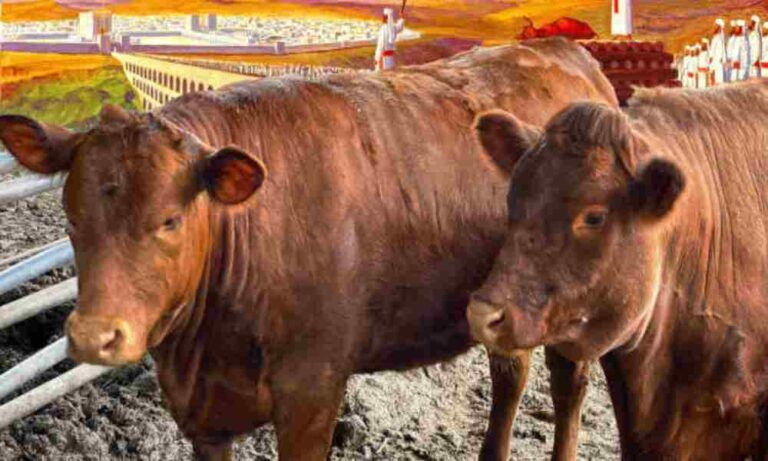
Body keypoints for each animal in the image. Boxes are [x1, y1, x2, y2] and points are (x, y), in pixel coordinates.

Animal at [0, 38, 616, 460]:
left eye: (170, 219)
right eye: (71, 217)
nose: (93, 336)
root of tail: (560, 50)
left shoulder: (312, 392)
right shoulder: (201, 411)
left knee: (569, 387)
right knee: (511, 372)